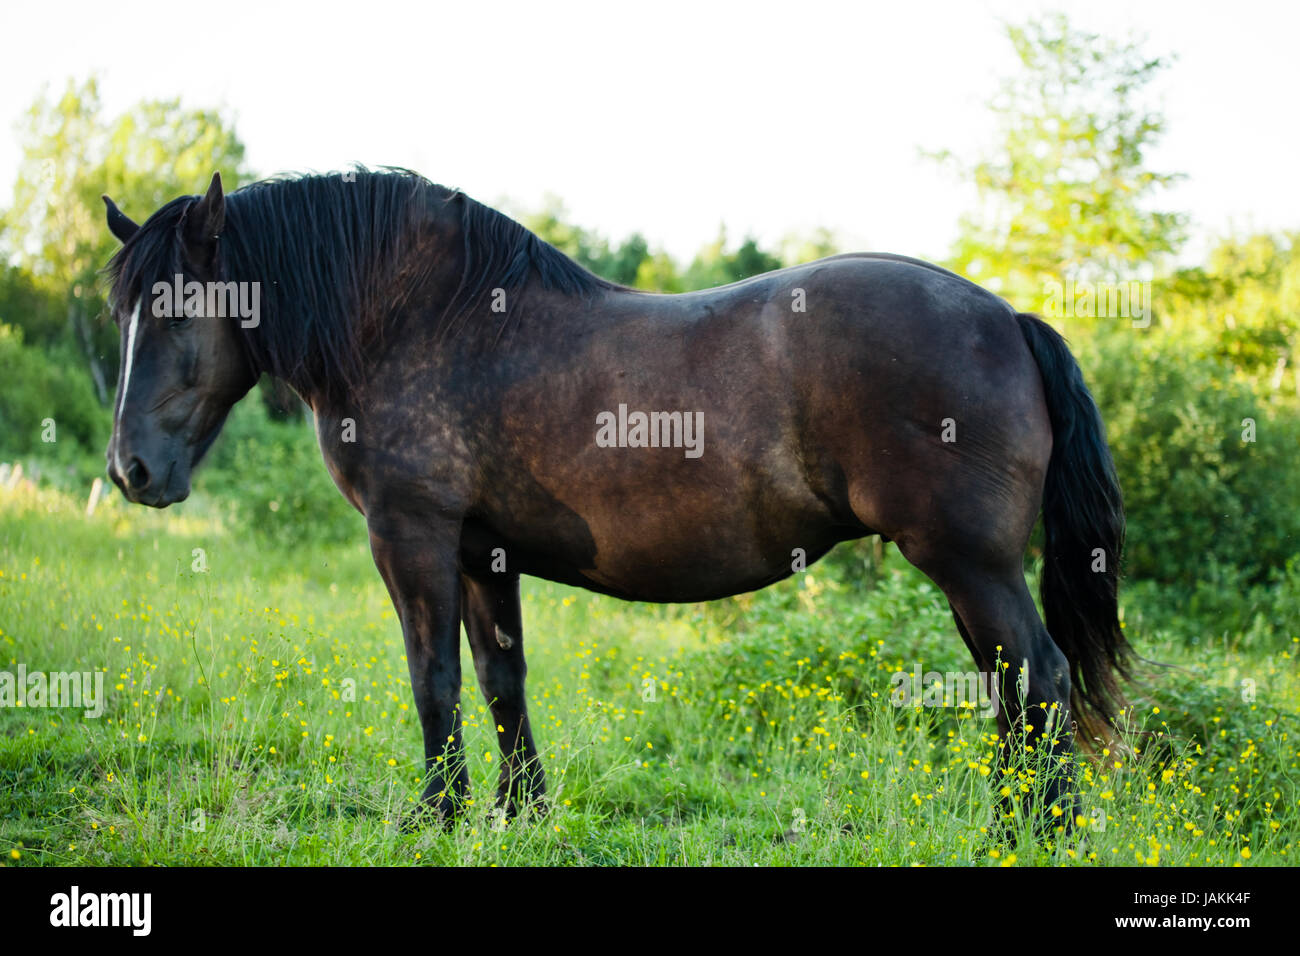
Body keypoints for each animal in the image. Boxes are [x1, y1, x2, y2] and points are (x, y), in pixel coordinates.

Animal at [101, 167, 1128, 831]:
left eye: (176, 306)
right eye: (124, 310)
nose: (130, 471)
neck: (417, 321)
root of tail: (1007, 319)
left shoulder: (412, 537)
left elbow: (433, 680)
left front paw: (437, 819)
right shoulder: (479, 553)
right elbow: (500, 679)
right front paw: (520, 814)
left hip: (969, 564)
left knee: (1039, 679)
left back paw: (1032, 835)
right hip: (969, 573)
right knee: (1010, 687)